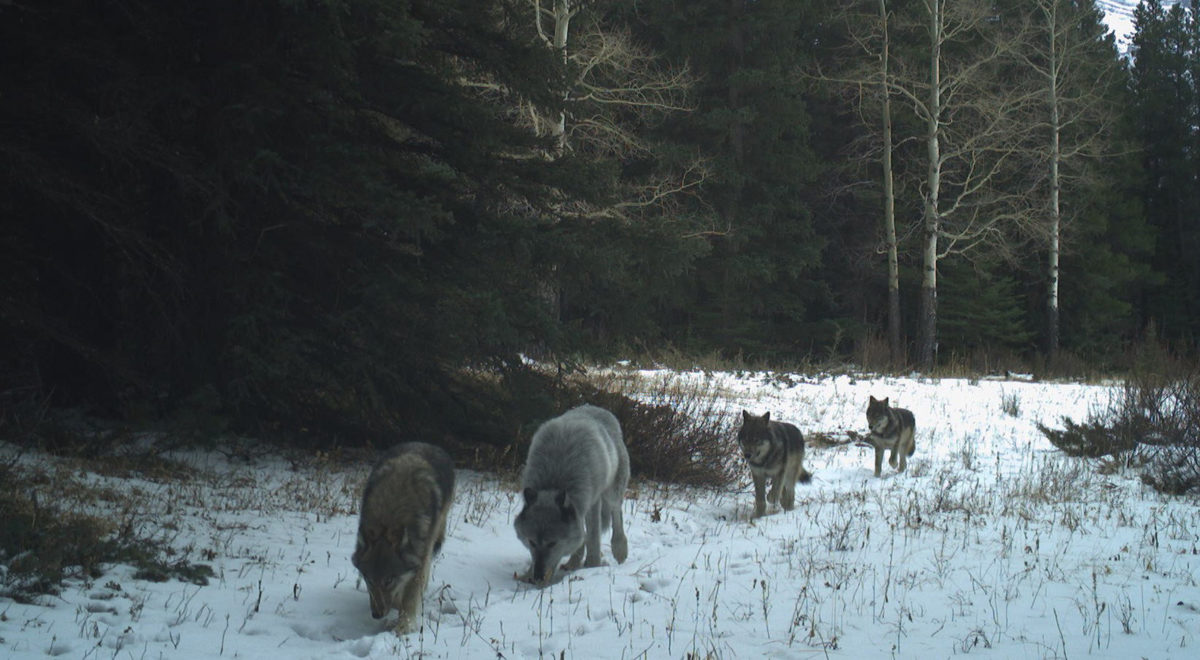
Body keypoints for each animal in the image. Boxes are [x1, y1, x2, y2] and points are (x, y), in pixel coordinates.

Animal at [351, 442, 455, 632]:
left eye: (388, 580)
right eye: (369, 579)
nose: (376, 615)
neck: (389, 518)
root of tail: (427, 443)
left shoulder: (421, 555)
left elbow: (411, 595)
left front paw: (404, 626)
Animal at [514, 404, 630, 585]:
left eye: (552, 544)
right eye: (531, 542)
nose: (538, 576)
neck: (554, 481)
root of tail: (597, 408)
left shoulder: (592, 501)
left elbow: (592, 538)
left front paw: (593, 566)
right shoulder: (578, 508)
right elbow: (581, 538)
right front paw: (527, 575)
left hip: (612, 493)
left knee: (616, 513)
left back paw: (619, 549)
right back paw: (573, 563)